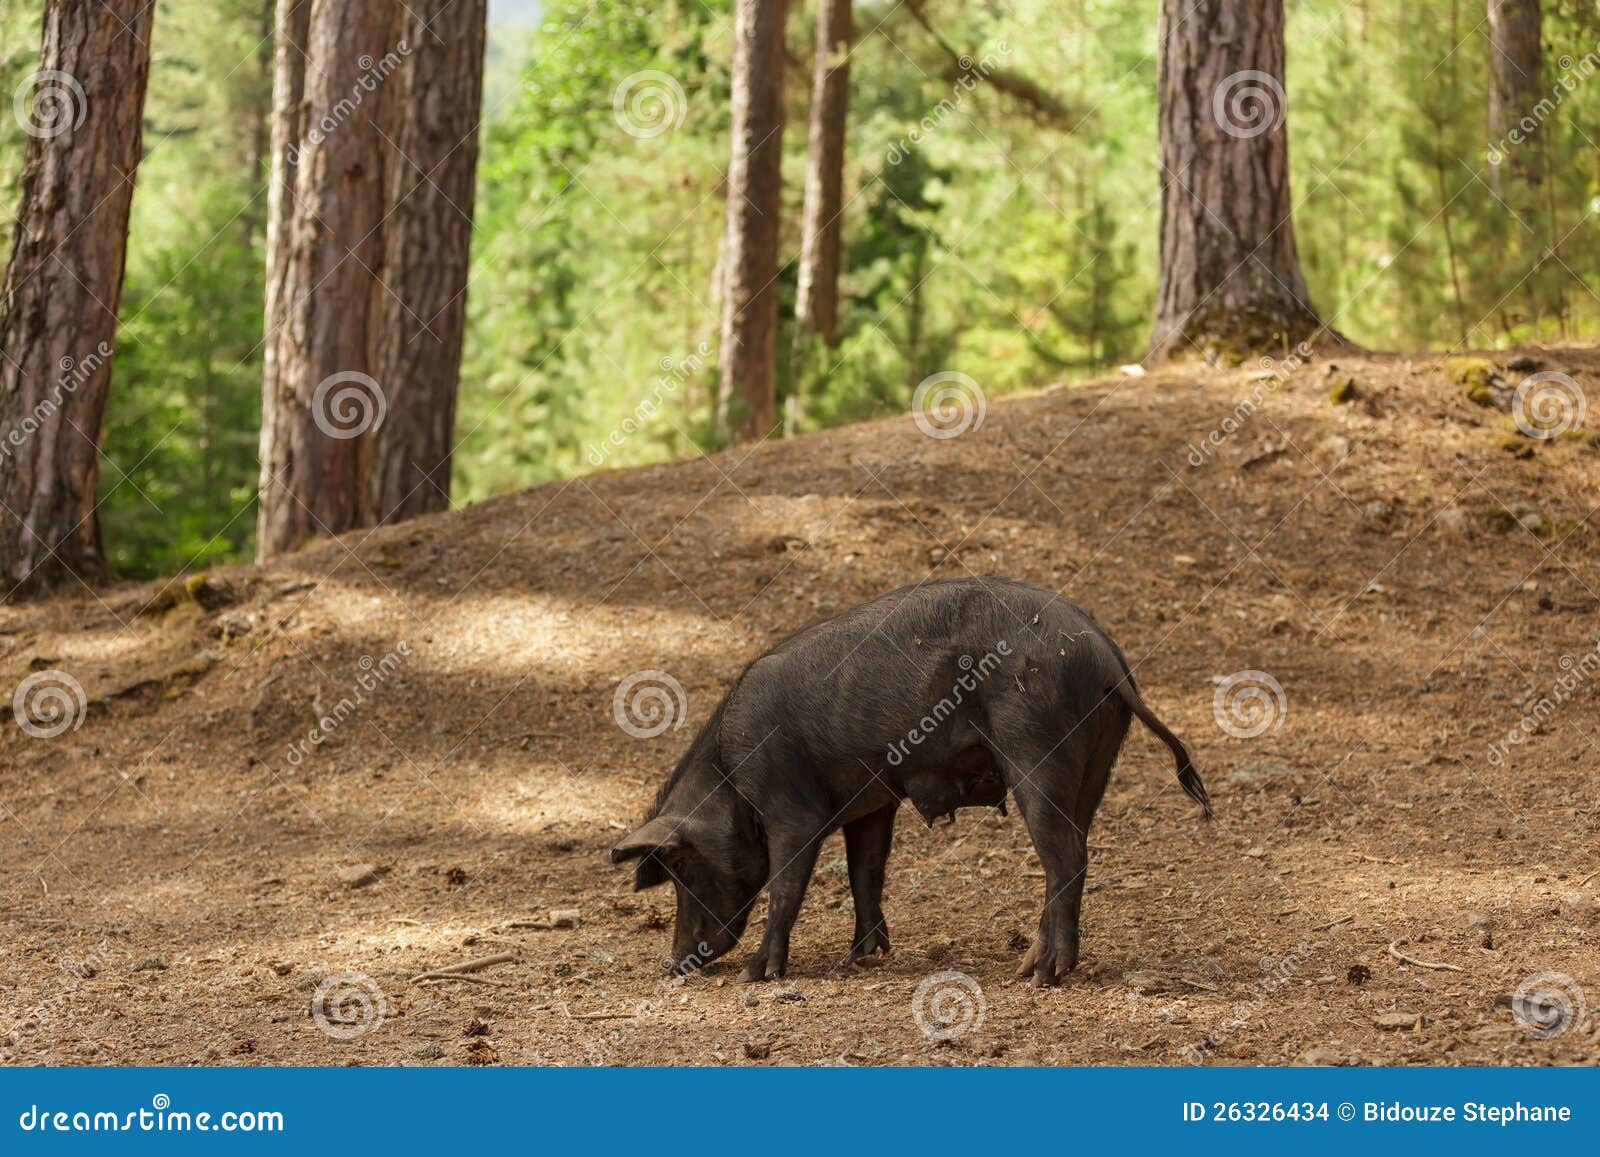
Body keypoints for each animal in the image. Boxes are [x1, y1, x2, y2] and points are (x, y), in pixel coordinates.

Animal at [611, 576, 1210, 986]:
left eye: (682, 865)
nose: (672, 963)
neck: (730, 778)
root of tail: (1106, 656)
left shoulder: (793, 812)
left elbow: (786, 887)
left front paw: (756, 974)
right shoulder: (871, 803)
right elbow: (866, 871)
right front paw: (859, 956)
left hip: (1036, 749)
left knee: (1066, 857)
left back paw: (1044, 976)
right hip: (1098, 760)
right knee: (1076, 846)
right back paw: (1027, 966)